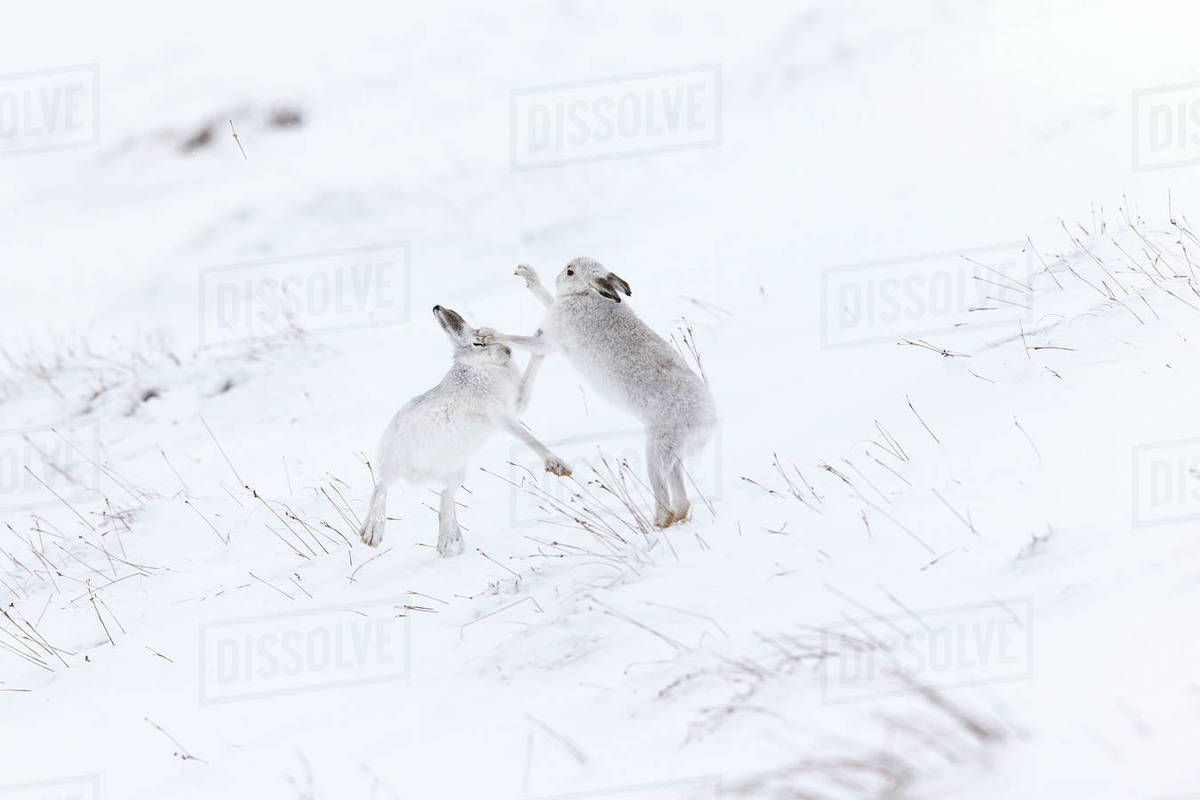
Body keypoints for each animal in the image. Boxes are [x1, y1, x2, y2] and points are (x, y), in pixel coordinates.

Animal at [360, 305, 571, 556]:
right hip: (396, 463)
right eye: (478, 343)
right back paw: (371, 534)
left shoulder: (513, 406)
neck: (476, 368)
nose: (508, 352)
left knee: (445, 495)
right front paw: (558, 465)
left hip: (456, 470)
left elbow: (528, 384)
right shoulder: (501, 416)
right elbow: (530, 439)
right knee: (380, 487)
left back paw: (450, 542)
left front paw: (539, 340)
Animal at [482, 257, 716, 528]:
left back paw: (656, 524)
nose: (558, 277)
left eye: (570, 272)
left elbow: (528, 340)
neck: (585, 294)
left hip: (659, 447)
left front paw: (488, 335)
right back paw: (676, 516)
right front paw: (529, 276)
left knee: (661, 486)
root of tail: (706, 420)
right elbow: (548, 299)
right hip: (674, 452)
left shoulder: (555, 335)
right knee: (680, 492)